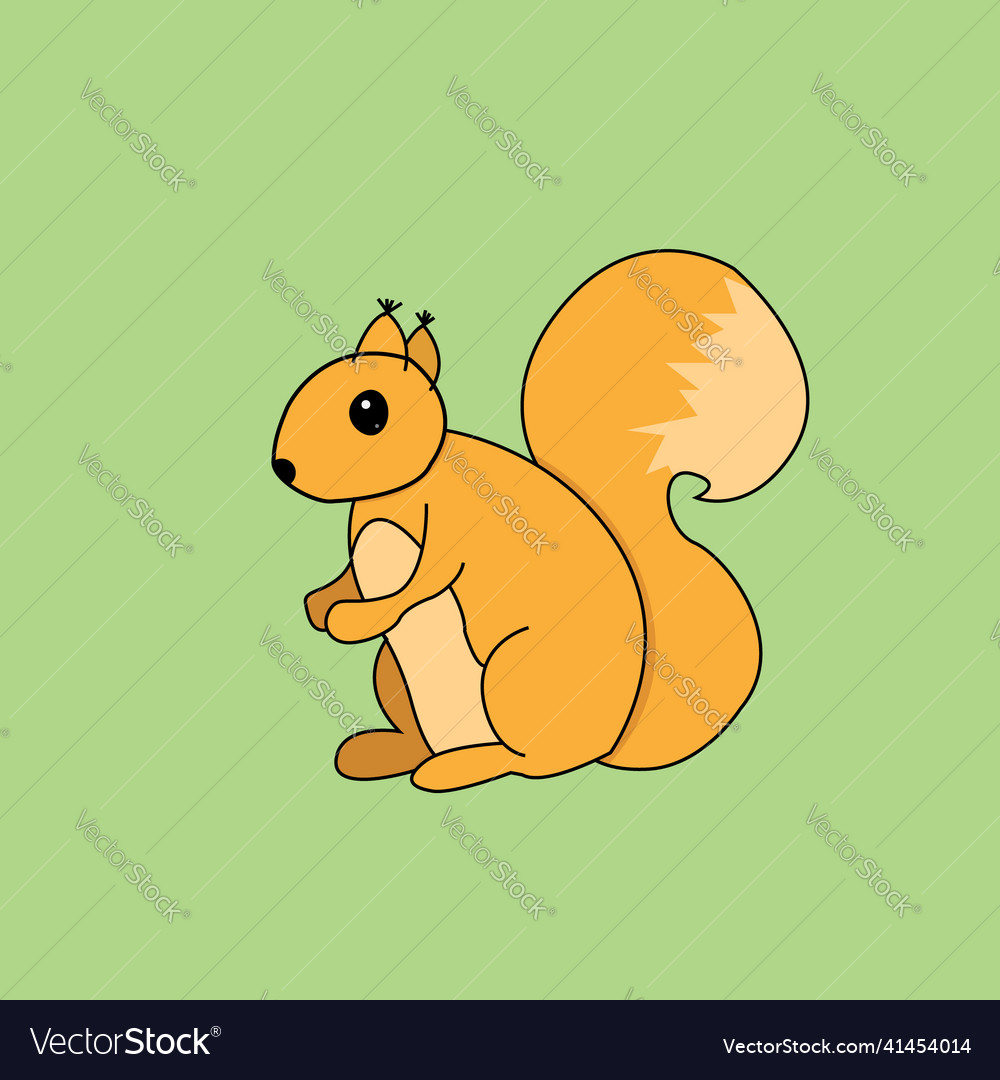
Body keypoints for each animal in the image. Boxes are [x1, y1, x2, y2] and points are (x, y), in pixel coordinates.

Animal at [271, 250, 807, 792]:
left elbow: (421, 583)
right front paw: (321, 603)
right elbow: (349, 574)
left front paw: (351, 619)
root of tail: (607, 743)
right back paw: (379, 754)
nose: (282, 468)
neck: (399, 490)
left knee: (526, 761)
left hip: (512, 675)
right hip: (392, 673)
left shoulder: (449, 529)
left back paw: (452, 769)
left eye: (369, 411)